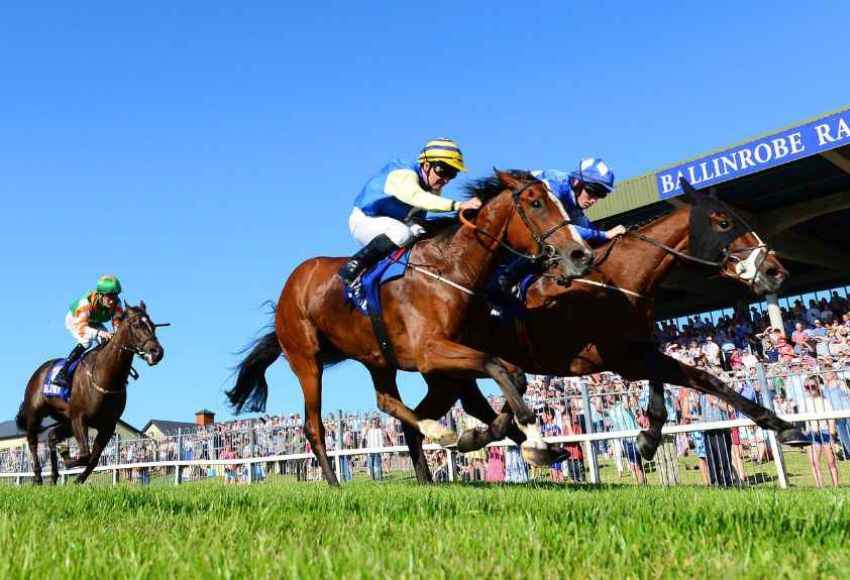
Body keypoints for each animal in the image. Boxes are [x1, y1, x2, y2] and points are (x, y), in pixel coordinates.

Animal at [16, 303, 166, 484]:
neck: (106, 377)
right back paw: (38, 477)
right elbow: (85, 455)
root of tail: (39, 371)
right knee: (32, 442)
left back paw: (54, 476)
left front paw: (78, 479)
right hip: (35, 414)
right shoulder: (80, 418)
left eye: (153, 326)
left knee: (52, 436)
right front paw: (67, 457)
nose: (157, 352)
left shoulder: (108, 426)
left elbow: (93, 459)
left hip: (66, 420)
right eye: (137, 325)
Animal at [226, 170, 596, 485]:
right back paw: (340, 480)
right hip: (307, 361)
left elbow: (510, 377)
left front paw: (529, 442)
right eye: (536, 203)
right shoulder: (430, 354)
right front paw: (528, 437)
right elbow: (496, 368)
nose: (581, 254)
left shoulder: (452, 360)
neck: (450, 269)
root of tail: (289, 289)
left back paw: (435, 450)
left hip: (378, 359)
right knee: (314, 426)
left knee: (386, 402)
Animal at [398, 179, 809, 483]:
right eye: (725, 223)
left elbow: (702, 380)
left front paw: (785, 427)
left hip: (447, 372)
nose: (776, 271)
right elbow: (690, 378)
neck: (617, 280)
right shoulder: (615, 359)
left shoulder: (636, 350)